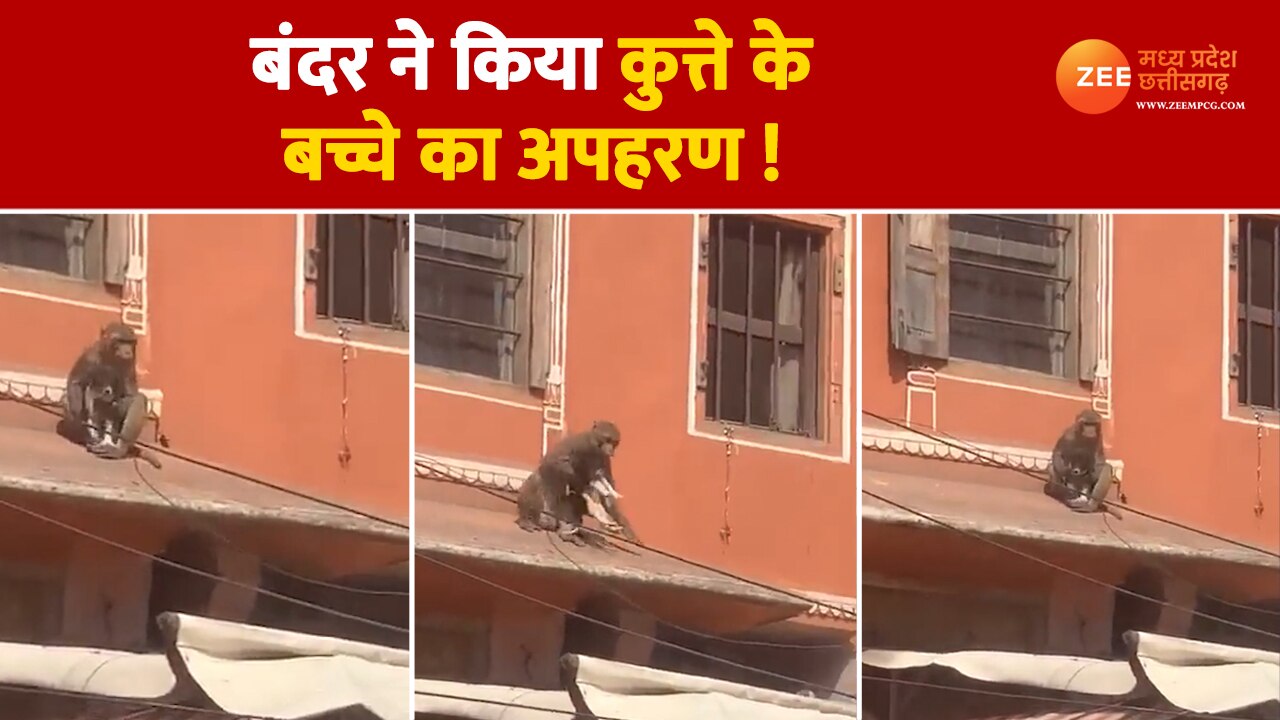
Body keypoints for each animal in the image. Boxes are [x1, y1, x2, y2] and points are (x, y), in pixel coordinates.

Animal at [58, 322, 162, 469]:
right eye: (121, 341)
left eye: (130, 342)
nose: (127, 350)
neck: (111, 356)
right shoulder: (90, 355)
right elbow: (76, 383)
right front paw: (81, 418)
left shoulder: (130, 362)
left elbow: (130, 395)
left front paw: (111, 405)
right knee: (69, 398)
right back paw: (86, 436)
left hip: (115, 434)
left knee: (139, 400)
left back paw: (119, 449)